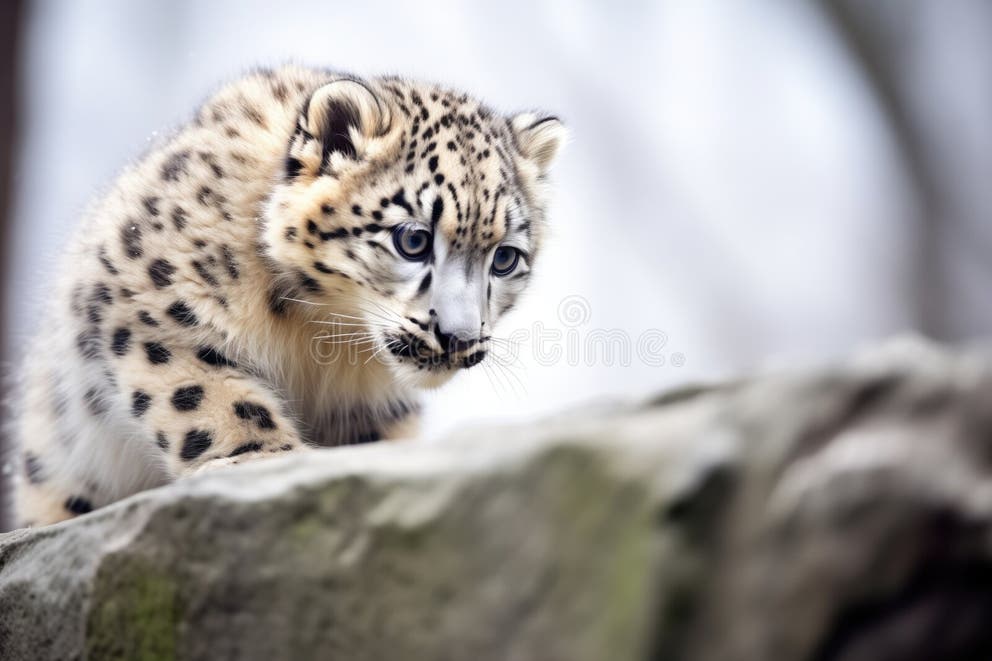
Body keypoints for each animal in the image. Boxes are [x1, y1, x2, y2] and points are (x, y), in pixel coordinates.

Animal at [5, 65, 565, 528]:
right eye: (413, 239)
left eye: (505, 258)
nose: (459, 336)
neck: (319, 337)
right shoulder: (146, 306)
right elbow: (205, 394)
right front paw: (265, 459)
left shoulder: (374, 408)